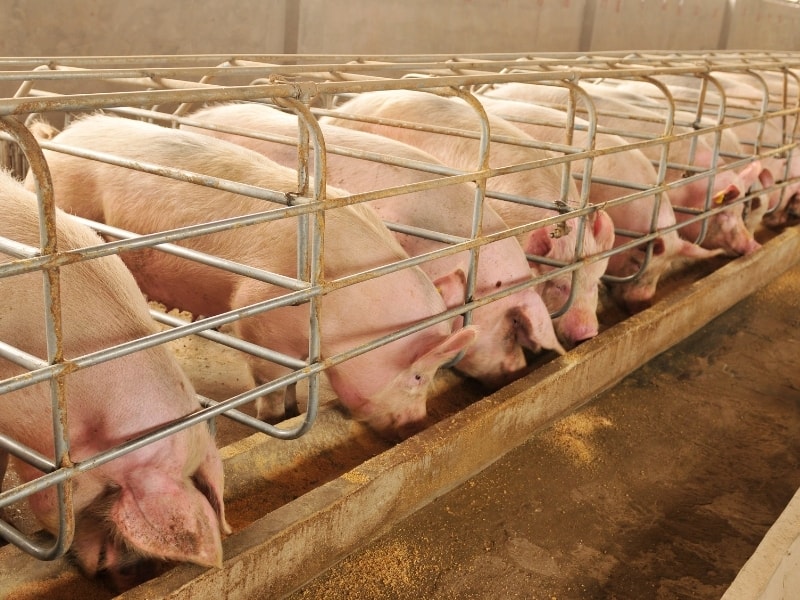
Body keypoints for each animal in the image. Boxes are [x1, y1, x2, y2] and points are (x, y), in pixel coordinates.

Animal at [30, 114, 477, 439]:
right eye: (418, 375)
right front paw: (277, 419)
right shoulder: (257, 313)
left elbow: (294, 381)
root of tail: (59, 137)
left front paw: (295, 408)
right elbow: (271, 380)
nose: (416, 423)